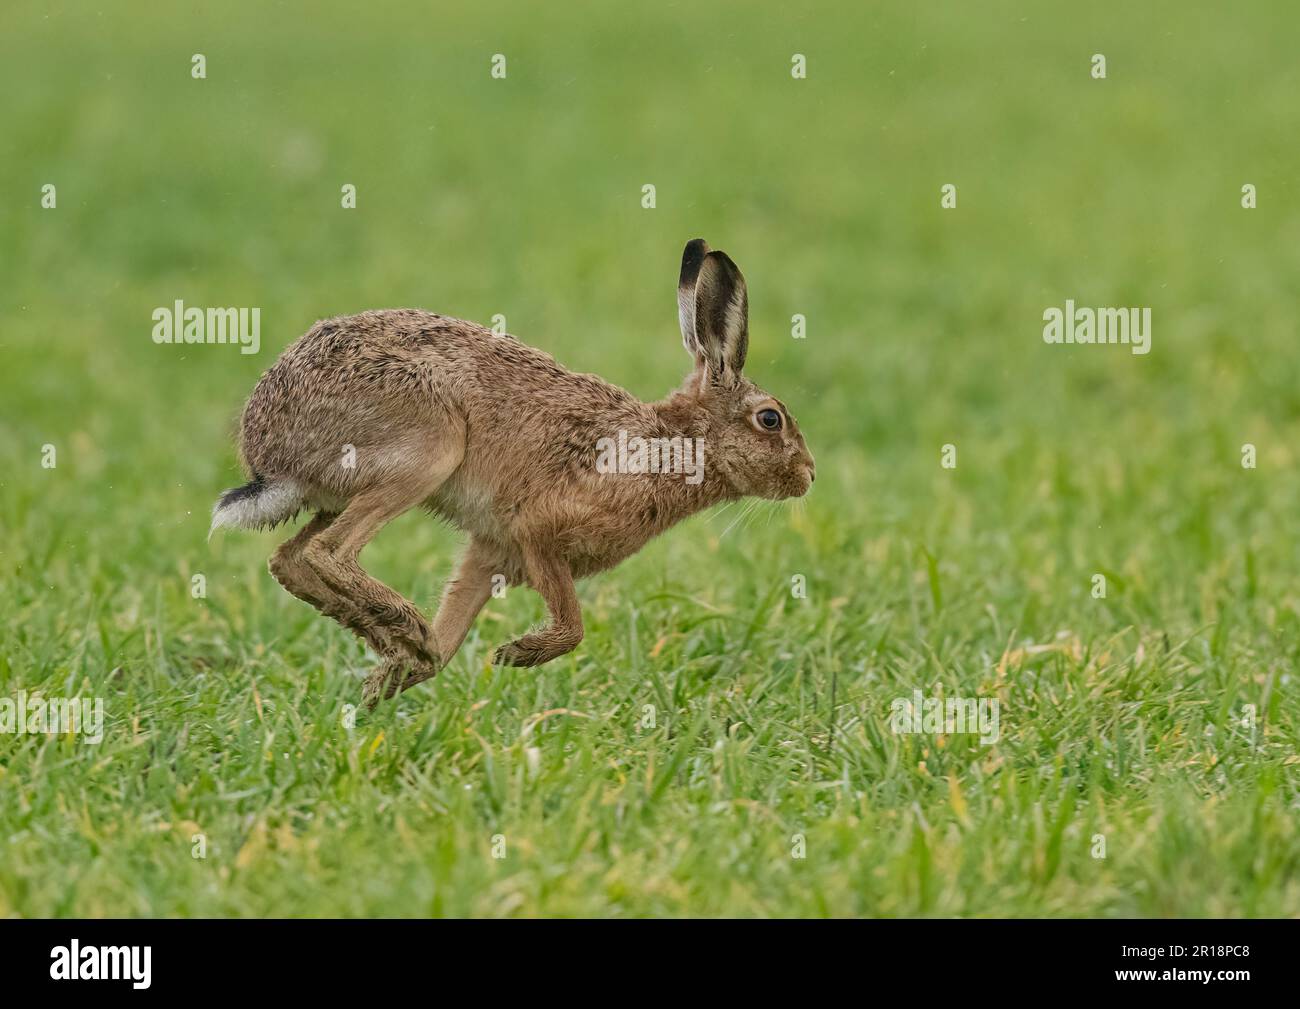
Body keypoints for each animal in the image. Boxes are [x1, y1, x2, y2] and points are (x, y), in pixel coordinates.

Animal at [210, 239, 814, 706]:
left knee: (289, 559)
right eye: (770, 419)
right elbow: (572, 626)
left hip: (340, 492)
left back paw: (399, 640)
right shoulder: (538, 530)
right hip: (427, 450)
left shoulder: (492, 552)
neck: (673, 444)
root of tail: (268, 449)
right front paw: (515, 655)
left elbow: (451, 642)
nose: (808, 475)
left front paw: (387, 681)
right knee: (328, 552)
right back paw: (406, 624)